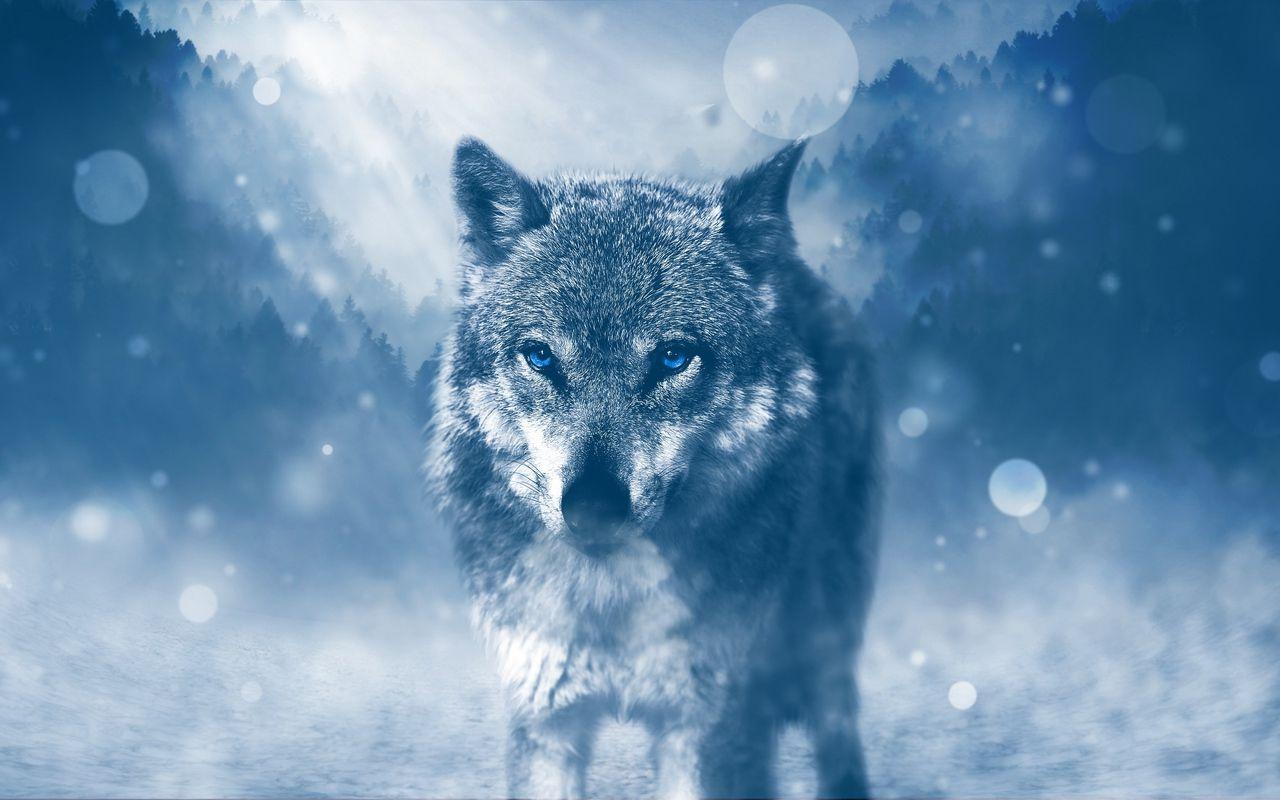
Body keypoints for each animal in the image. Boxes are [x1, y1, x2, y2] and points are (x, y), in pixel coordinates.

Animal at [426, 136, 881, 799]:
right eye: (540, 357)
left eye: (672, 358)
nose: (593, 507)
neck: (610, 603)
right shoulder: (545, 716)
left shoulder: (707, 725)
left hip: (824, 629)